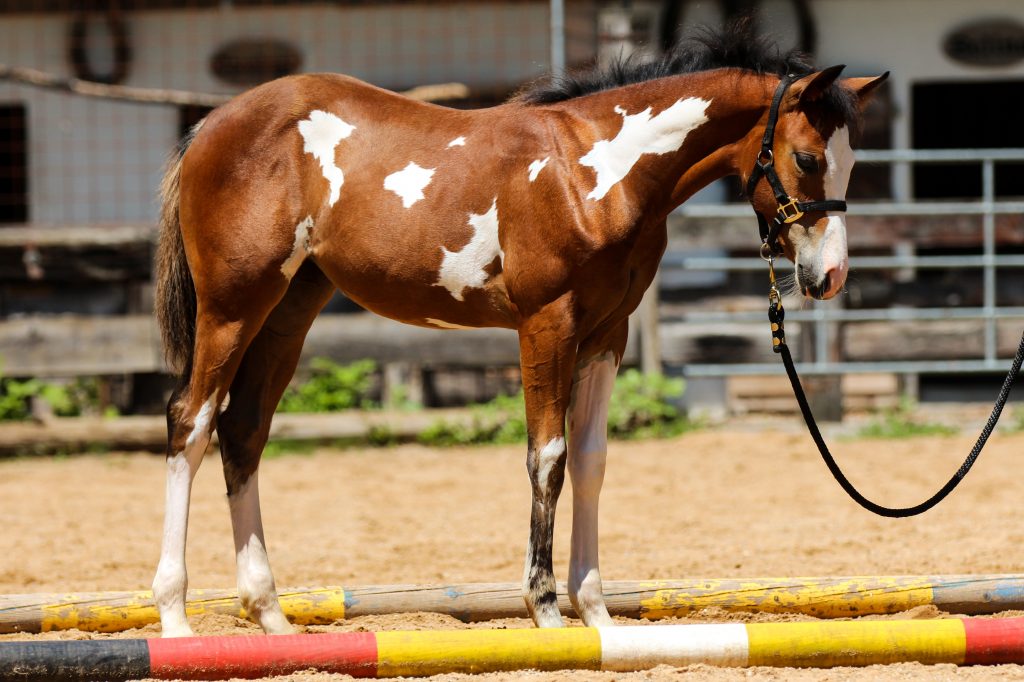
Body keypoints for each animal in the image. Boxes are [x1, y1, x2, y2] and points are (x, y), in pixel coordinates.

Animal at [151, 23, 886, 637]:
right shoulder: (546, 324)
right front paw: (545, 608)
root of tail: (210, 124)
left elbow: (590, 460)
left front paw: (594, 611)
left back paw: (271, 615)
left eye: (852, 164)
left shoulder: (606, 334)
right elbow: (547, 457)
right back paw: (175, 618)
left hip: (289, 309)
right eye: (807, 159)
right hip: (233, 306)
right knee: (191, 421)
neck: (594, 173)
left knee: (243, 429)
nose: (829, 275)